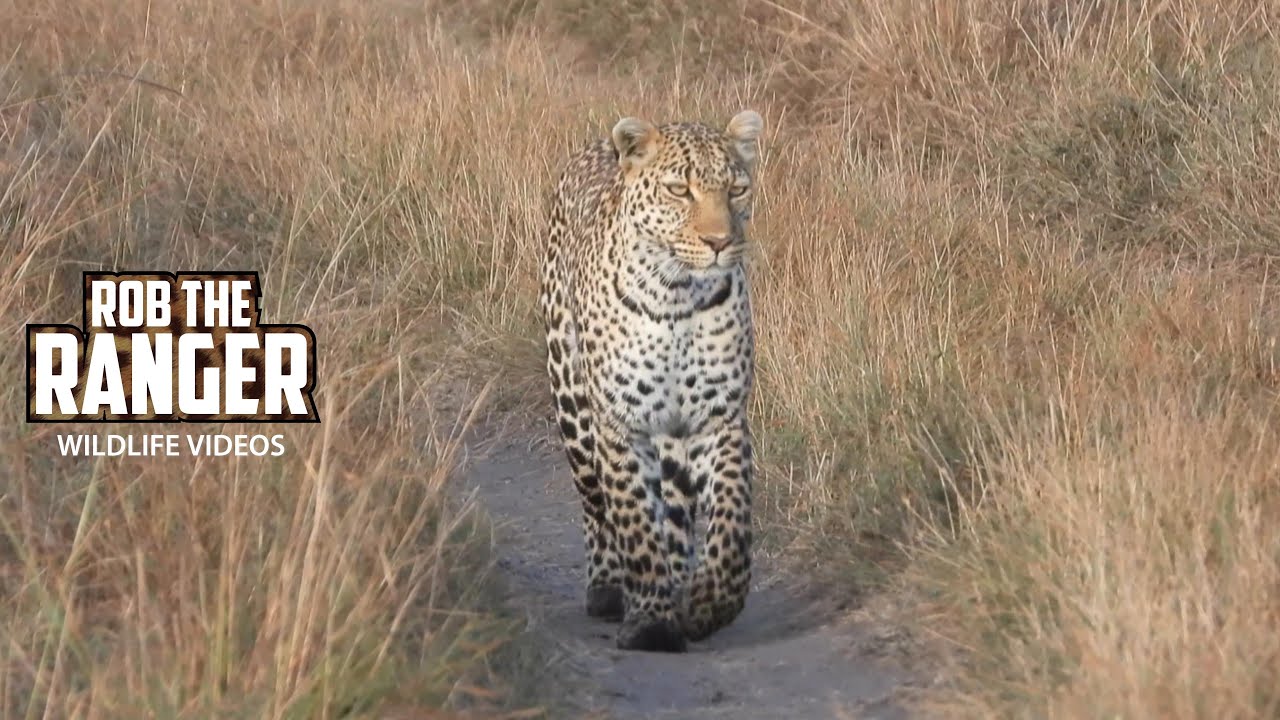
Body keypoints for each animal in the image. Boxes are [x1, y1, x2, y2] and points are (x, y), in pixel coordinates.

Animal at [538, 109, 765, 653]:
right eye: (679, 190)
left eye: (737, 190)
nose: (719, 243)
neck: (677, 293)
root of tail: (600, 143)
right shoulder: (622, 421)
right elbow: (634, 518)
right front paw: (652, 623)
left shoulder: (718, 417)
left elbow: (731, 516)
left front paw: (708, 603)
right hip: (574, 404)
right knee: (596, 504)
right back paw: (606, 587)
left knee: (678, 512)